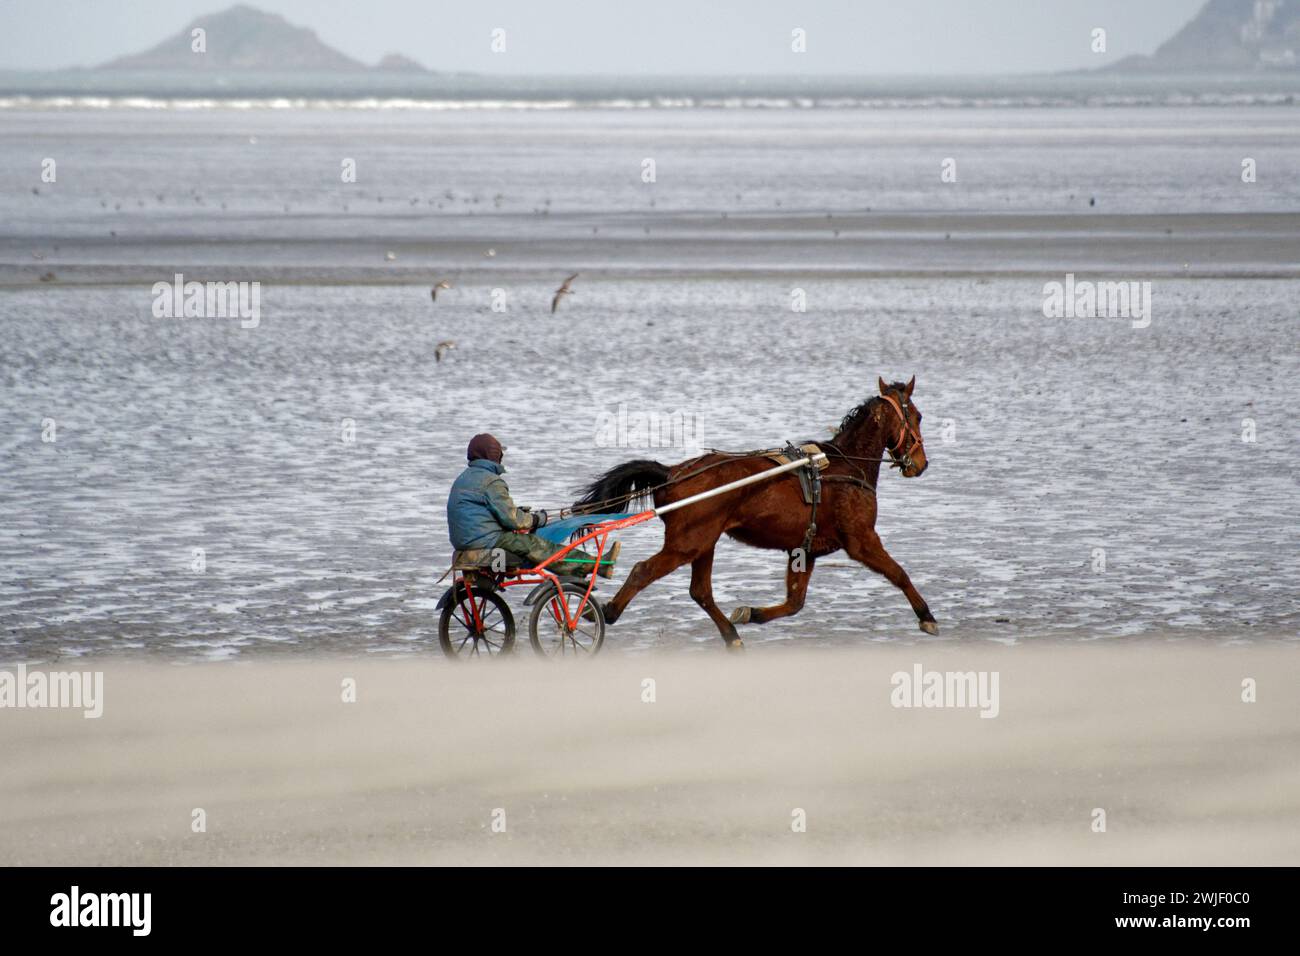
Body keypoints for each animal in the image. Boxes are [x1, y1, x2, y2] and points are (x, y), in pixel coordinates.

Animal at [572, 377, 937, 649]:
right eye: (917, 416)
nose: (920, 465)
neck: (845, 466)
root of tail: (673, 472)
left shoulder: (805, 549)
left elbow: (795, 603)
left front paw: (751, 613)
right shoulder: (861, 539)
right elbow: (899, 574)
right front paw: (927, 617)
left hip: (704, 542)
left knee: (700, 592)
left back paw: (731, 635)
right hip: (688, 543)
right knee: (642, 571)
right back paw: (606, 611)